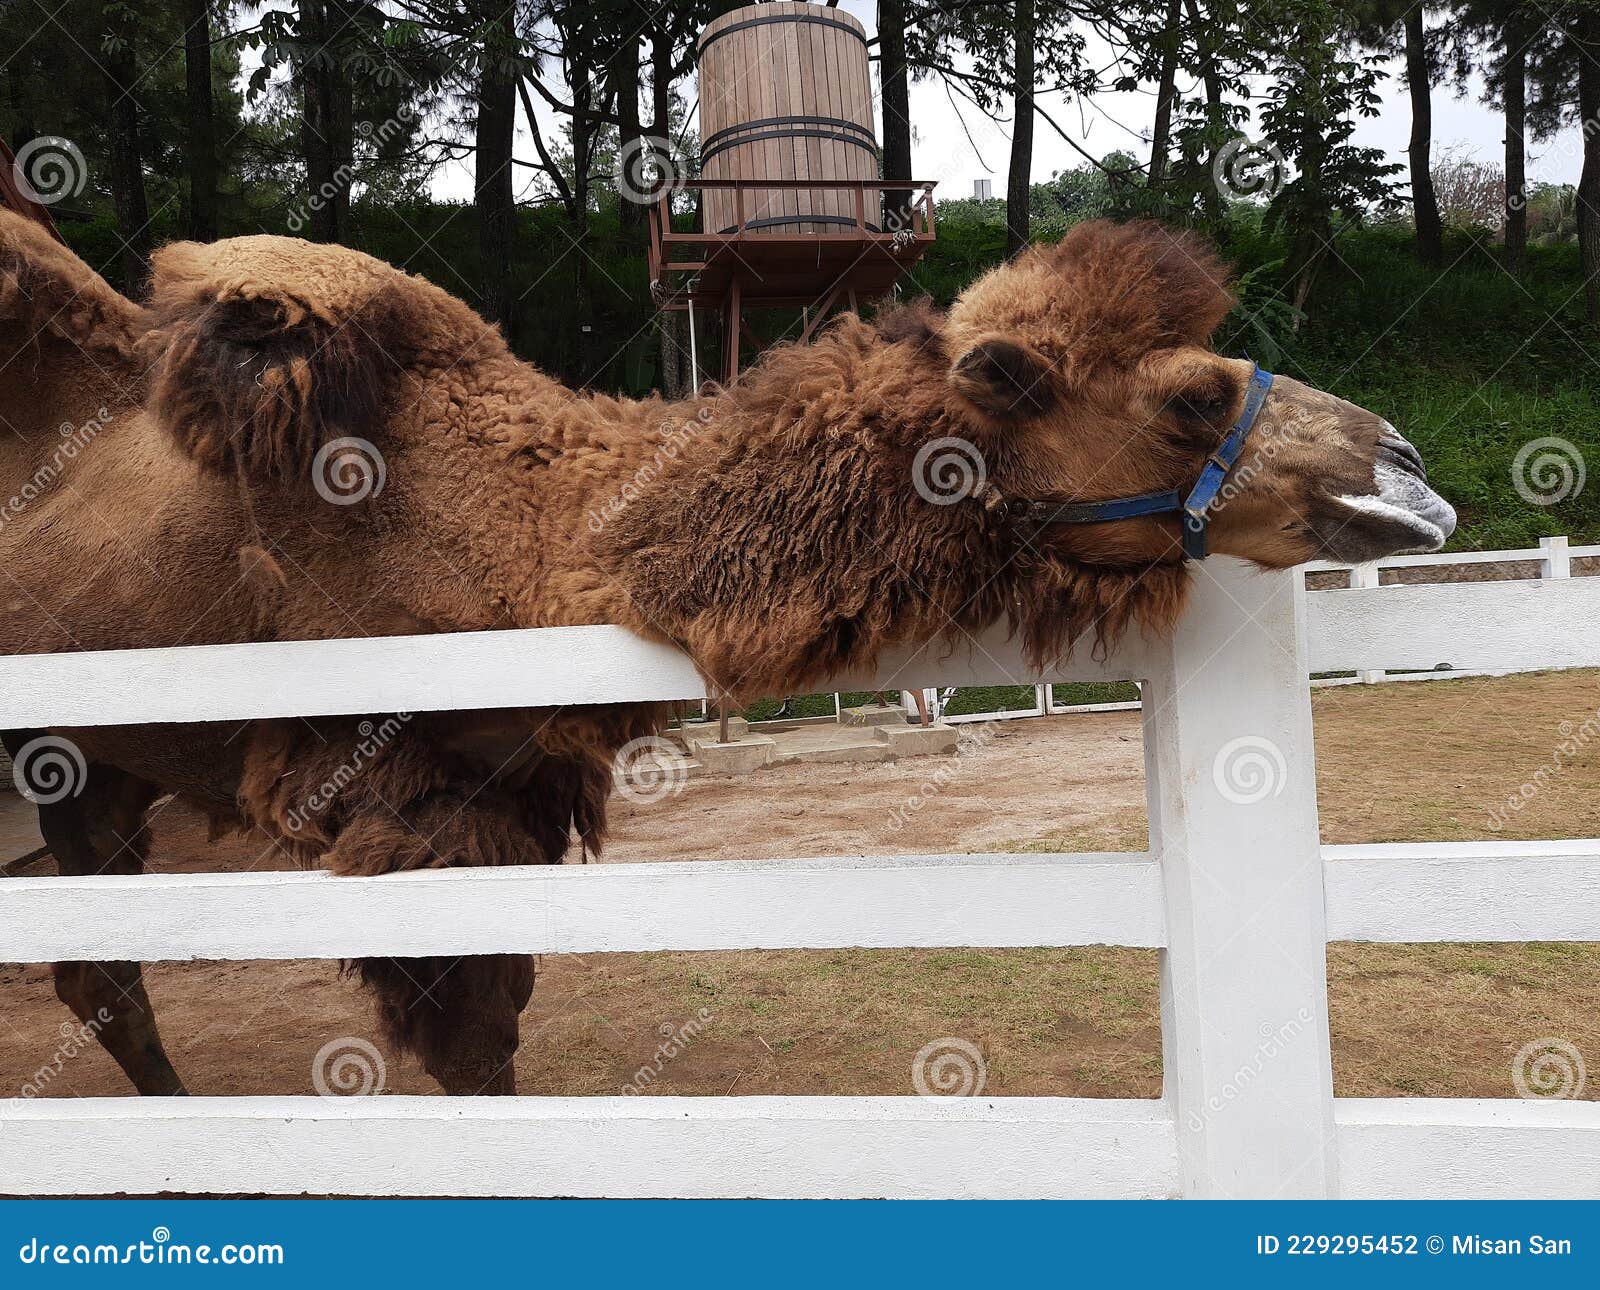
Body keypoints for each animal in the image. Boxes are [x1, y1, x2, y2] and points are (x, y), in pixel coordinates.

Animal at [0, 210, 1456, 1096]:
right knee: (99, 969)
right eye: (1192, 396)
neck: (544, 536)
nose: (1411, 474)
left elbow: (496, 1027)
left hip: (103, 764)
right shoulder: (404, 797)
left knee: (98, 968)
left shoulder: (505, 797)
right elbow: (471, 1046)